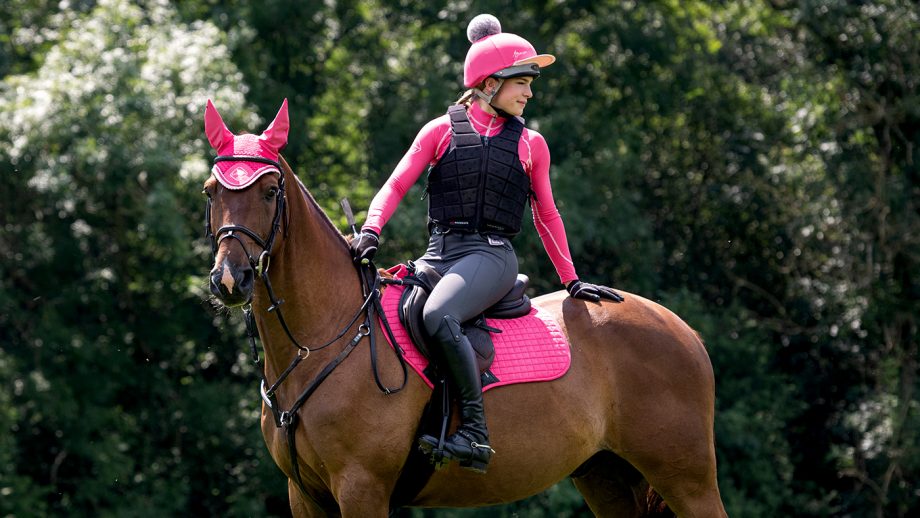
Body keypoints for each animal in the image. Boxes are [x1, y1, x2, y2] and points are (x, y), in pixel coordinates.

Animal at [202, 99, 727, 517]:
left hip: (687, 479)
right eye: (212, 191)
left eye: (270, 192)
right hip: (607, 477)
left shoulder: (361, 489)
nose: (230, 279)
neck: (324, 341)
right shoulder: (306, 497)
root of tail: (684, 330)